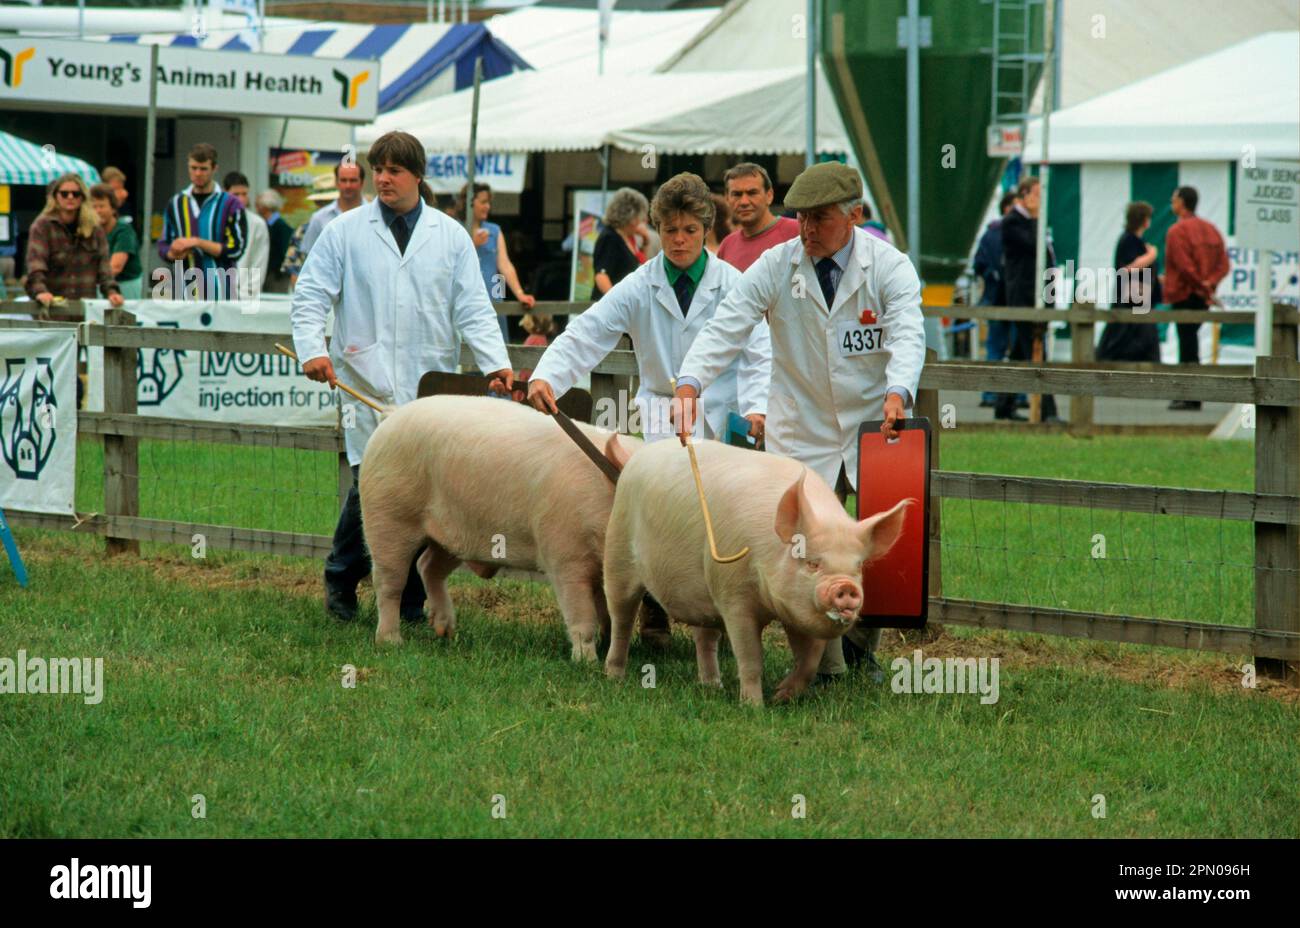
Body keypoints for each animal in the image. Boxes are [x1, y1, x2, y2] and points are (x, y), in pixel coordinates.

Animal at [359, 395, 639, 655]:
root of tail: (391, 414)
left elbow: (606, 611)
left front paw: (605, 645)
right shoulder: (564, 555)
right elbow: (582, 615)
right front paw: (587, 662)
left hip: (454, 535)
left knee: (427, 566)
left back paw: (446, 632)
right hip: (387, 514)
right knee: (389, 580)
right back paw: (391, 642)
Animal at [602, 438, 912, 705]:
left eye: (858, 566)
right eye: (813, 563)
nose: (846, 587)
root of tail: (636, 456)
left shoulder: (796, 608)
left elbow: (809, 660)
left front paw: (781, 695)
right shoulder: (733, 596)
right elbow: (751, 656)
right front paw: (754, 706)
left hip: (702, 590)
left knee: (704, 636)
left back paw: (712, 686)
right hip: (618, 549)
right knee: (621, 618)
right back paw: (614, 676)